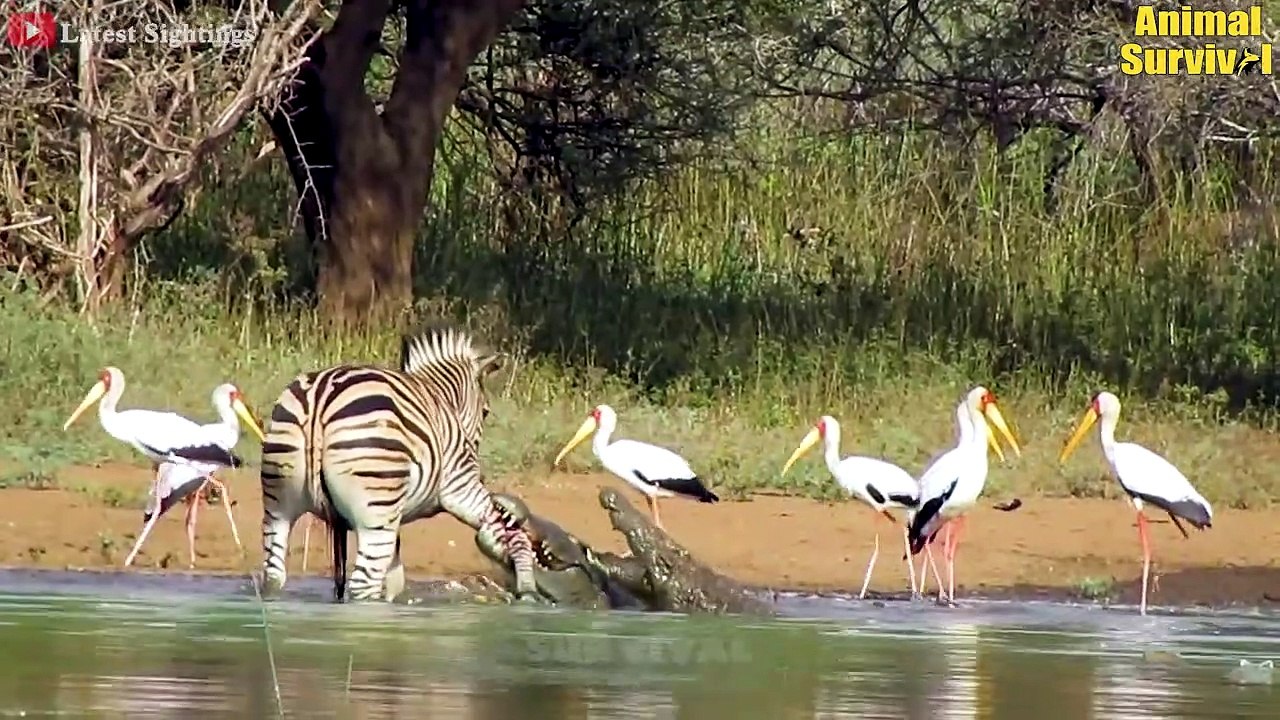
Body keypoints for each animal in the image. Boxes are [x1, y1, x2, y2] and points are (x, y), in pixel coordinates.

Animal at [257, 322, 538, 601]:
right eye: (486, 411)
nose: (483, 474)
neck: (442, 398)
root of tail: (320, 398)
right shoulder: (460, 485)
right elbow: (512, 532)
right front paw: (527, 589)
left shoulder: (395, 516)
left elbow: (395, 577)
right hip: (375, 507)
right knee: (363, 584)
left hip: (279, 502)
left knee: (273, 574)